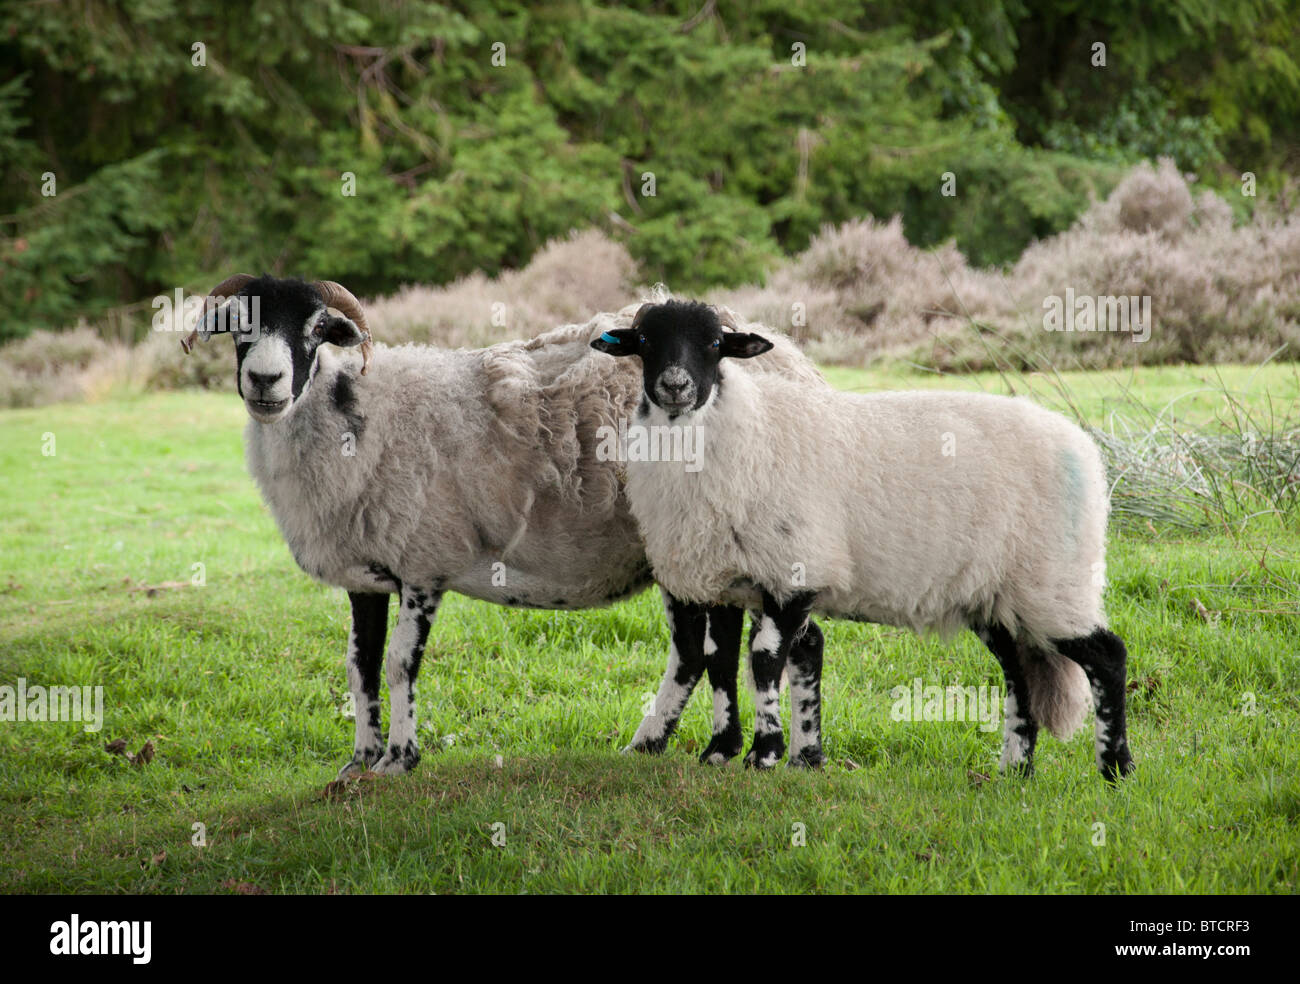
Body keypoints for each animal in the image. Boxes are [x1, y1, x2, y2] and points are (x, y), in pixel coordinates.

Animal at [180, 275, 823, 776]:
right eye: (237, 326)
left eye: (316, 328)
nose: (265, 381)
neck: (357, 414)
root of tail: (799, 365)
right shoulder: (366, 575)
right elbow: (359, 666)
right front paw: (359, 760)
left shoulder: (424, 561)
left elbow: (398, 664)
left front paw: (398, 759)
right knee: (756, 644)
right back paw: (774, 753)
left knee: (720, 646)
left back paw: (707, 748)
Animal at [591, 300, 1136, 780]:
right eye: (644, 341)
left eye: (715, 344)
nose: (675, 386)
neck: (742, 427)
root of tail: (1083, 448)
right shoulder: (722, 578)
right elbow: (720, 662)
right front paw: (721, 751)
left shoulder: (796, 568)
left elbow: (763, 659)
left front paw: (763, 754)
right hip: (1001, 599)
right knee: (1019, 675)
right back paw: (1014, 772)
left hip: (1053, 582)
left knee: (1107, 656)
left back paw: (1115, 770)